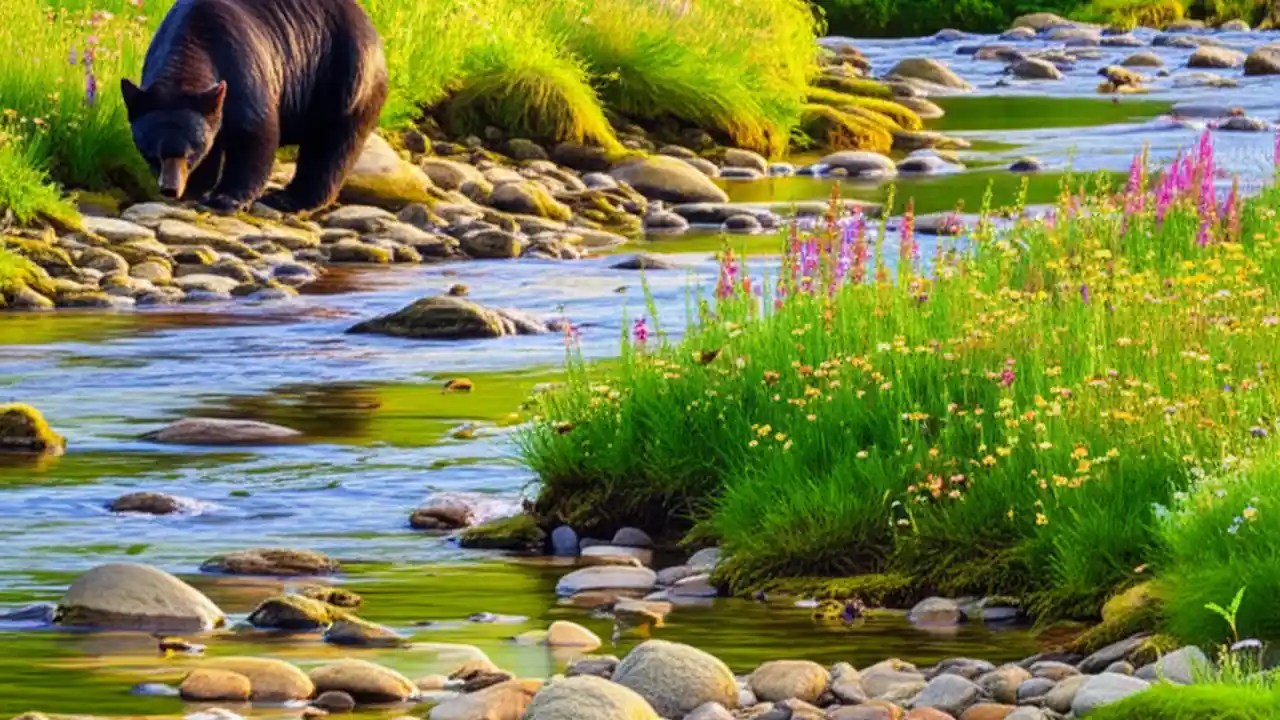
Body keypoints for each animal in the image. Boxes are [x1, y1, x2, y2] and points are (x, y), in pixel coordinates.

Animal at [120, 0, 388, 214]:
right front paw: (198, 187)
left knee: (331, 147)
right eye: (152, 154)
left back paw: (289, 198)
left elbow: (254, 135)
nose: (170, 188)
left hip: (346, 82)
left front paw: (224, 198)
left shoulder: (241, 70)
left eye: (189, 152)